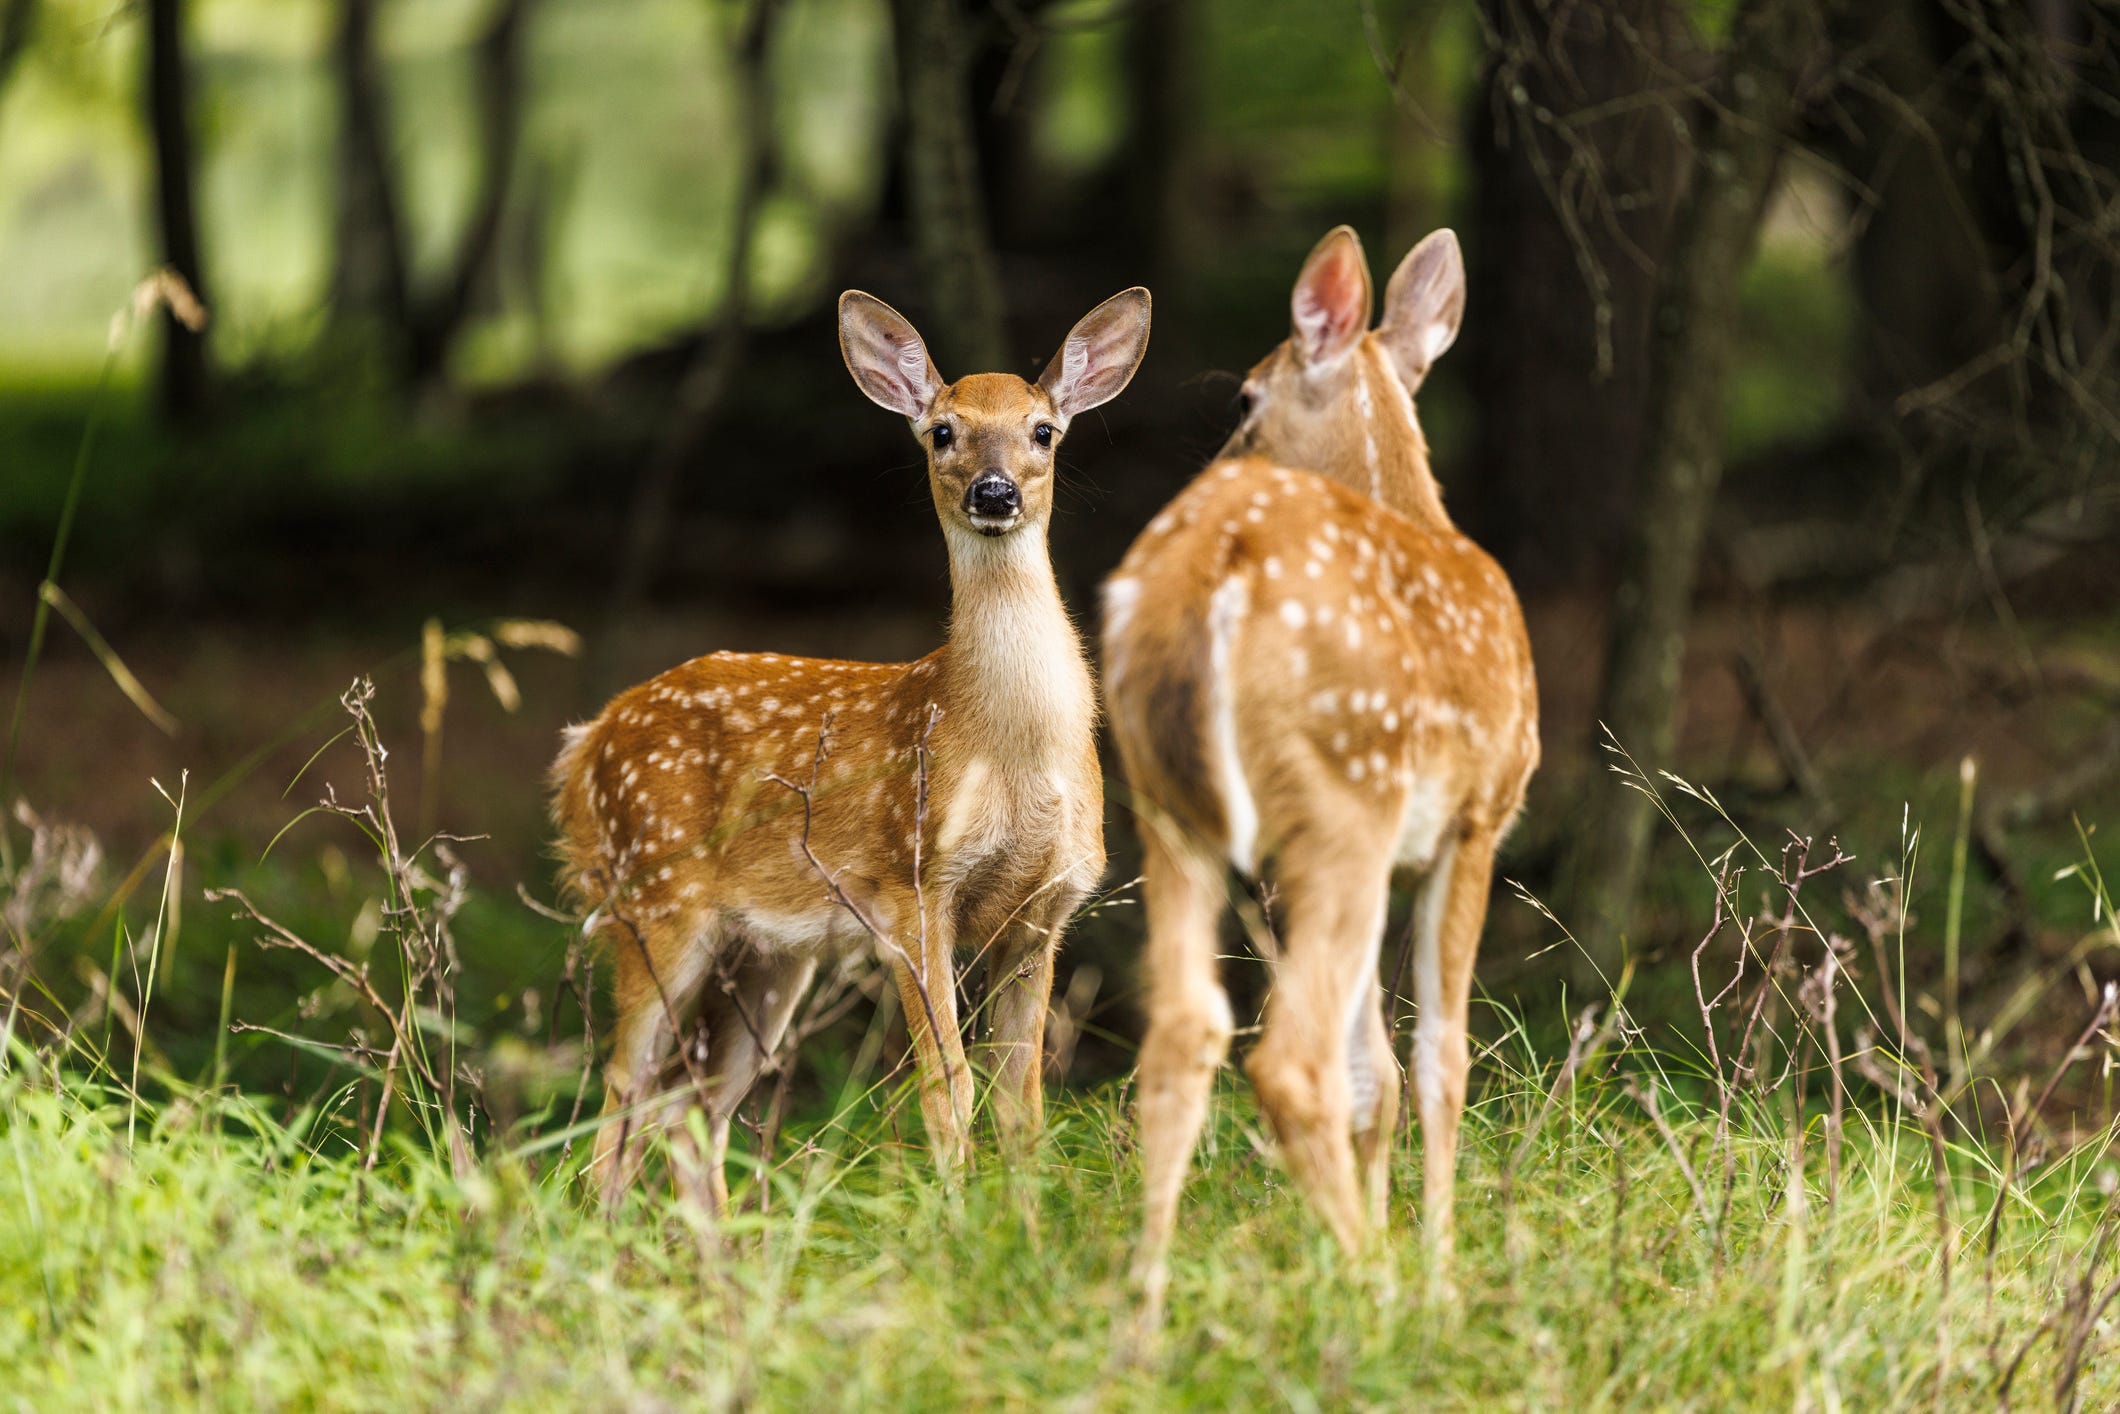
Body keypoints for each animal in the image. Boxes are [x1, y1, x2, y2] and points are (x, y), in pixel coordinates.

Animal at [553, 285, 1151, 1213]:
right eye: (941, 431)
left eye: (1044, 430)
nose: (994, 491)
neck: (1009, 751)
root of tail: (586, 746)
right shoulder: (912, 885)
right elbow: (948, 1085)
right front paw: (959, 1222)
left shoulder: (1044, 912)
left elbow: (1023, 1102)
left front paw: (1024, 1224)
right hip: (654, 901)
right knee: (620, 1095)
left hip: (765, 955)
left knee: (690, 1107)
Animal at [1101, 227, 1538, 1331]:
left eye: (1242, 401)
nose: (1219, 456)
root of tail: (1217, 567)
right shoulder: (1473, 822)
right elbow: (1436, 1061)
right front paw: (1436, 1274)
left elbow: (1373, 1071)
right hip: (1348, 792)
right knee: (1286, 1061)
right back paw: (1376, 1294)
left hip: (1173, 807)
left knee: (1184, 1035)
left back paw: (1145, 1319)